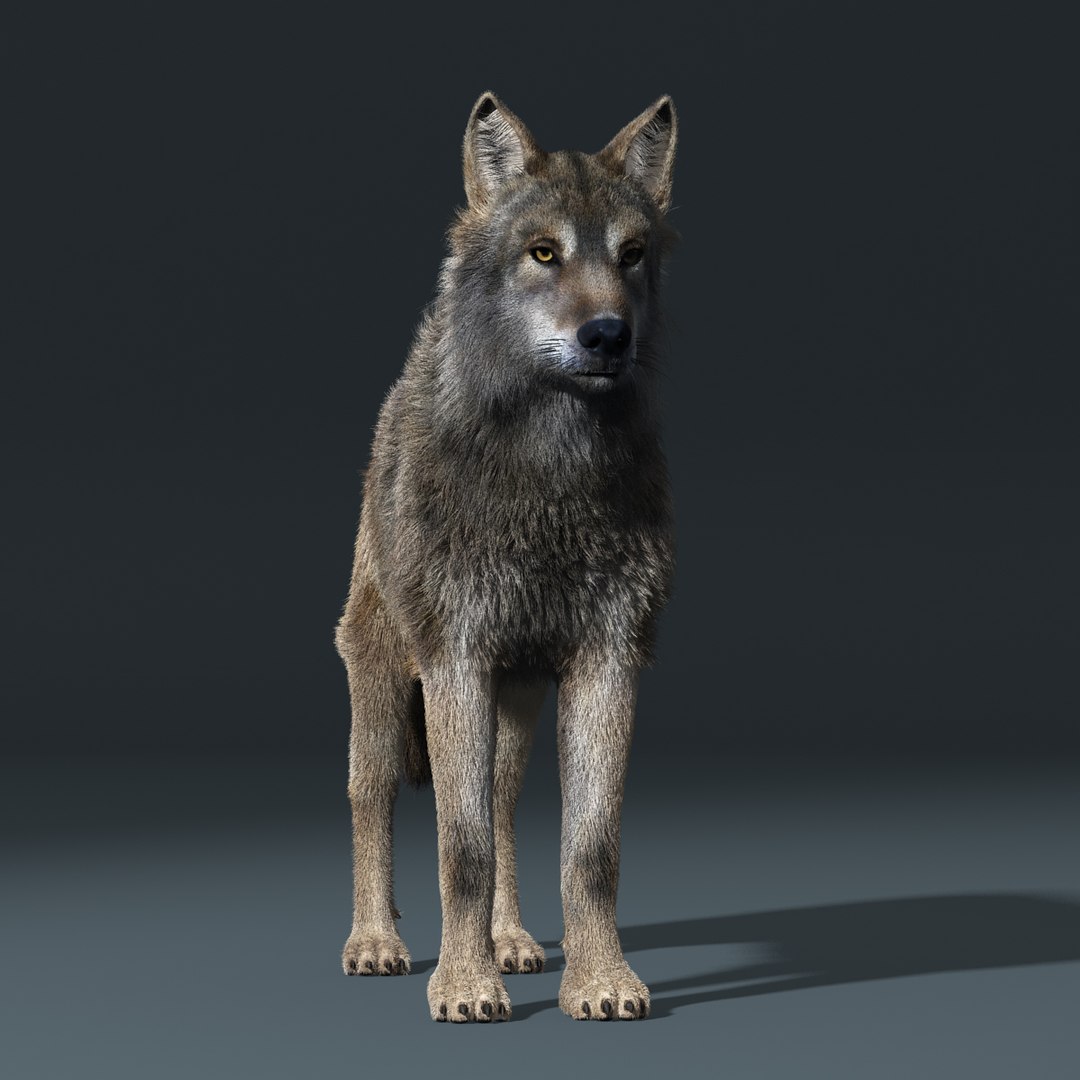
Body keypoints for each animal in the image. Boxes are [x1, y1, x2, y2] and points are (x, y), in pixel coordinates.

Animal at [334, 91, 678, 1022]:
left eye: (631, 254)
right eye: (543, 252)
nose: (608, 336)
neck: (551, 473)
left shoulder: (610, 655)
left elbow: (590, 850)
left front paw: (598, 983)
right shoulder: (454, 658)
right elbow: (461, 848)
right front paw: (462, 988)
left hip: (516, 701)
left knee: (505, 805)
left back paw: (515, 942)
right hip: (384, 684)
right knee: (370, 801)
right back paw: (375, 944)